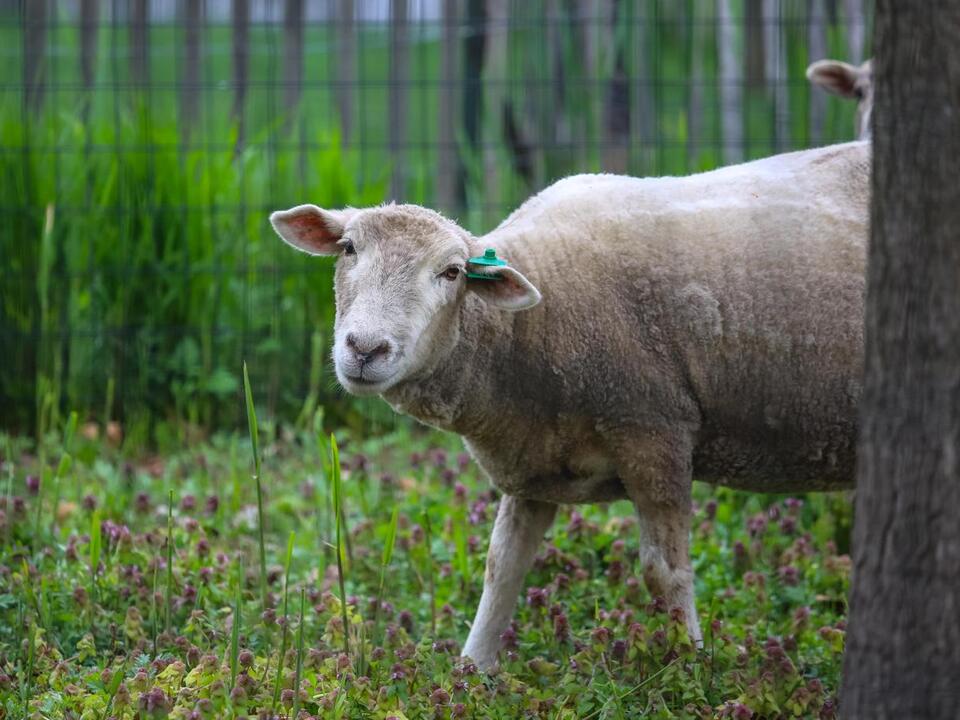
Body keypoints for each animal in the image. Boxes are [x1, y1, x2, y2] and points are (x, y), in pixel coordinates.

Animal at [270, 140, 870, 670]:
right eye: (349, 249)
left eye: (452, 272)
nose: (365, 349)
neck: (529, 326)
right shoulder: (531, 459)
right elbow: (502, 568)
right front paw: (472, 669)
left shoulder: (653, 431)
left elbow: (666, 573)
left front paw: (691, 667)